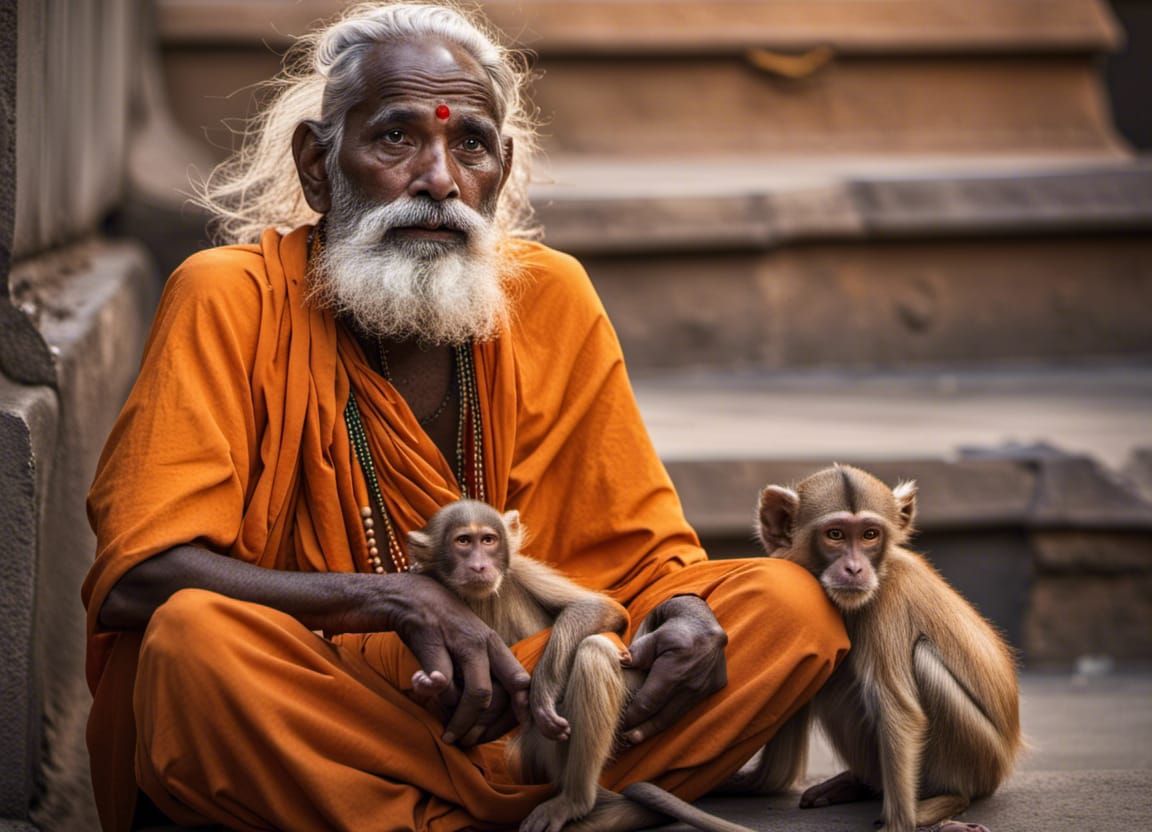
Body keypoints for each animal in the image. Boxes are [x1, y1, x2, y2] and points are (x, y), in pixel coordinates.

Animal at [407, 499, 754, 832]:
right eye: (463, 541)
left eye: (488, 540)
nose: (479, 564)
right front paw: (434, 681)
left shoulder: (518, 569)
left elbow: (600, 608)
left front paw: (542, 690)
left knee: (593, 652)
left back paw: (577, 802)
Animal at [749, 464, 1022, 832]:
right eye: (835, 534)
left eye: (869, 535)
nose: (854, 568)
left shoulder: (886, 601)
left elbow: (898, 710)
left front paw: (899, 823)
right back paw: (857, 785)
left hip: (980, 759)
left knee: (921, 661)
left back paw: (948, 800)